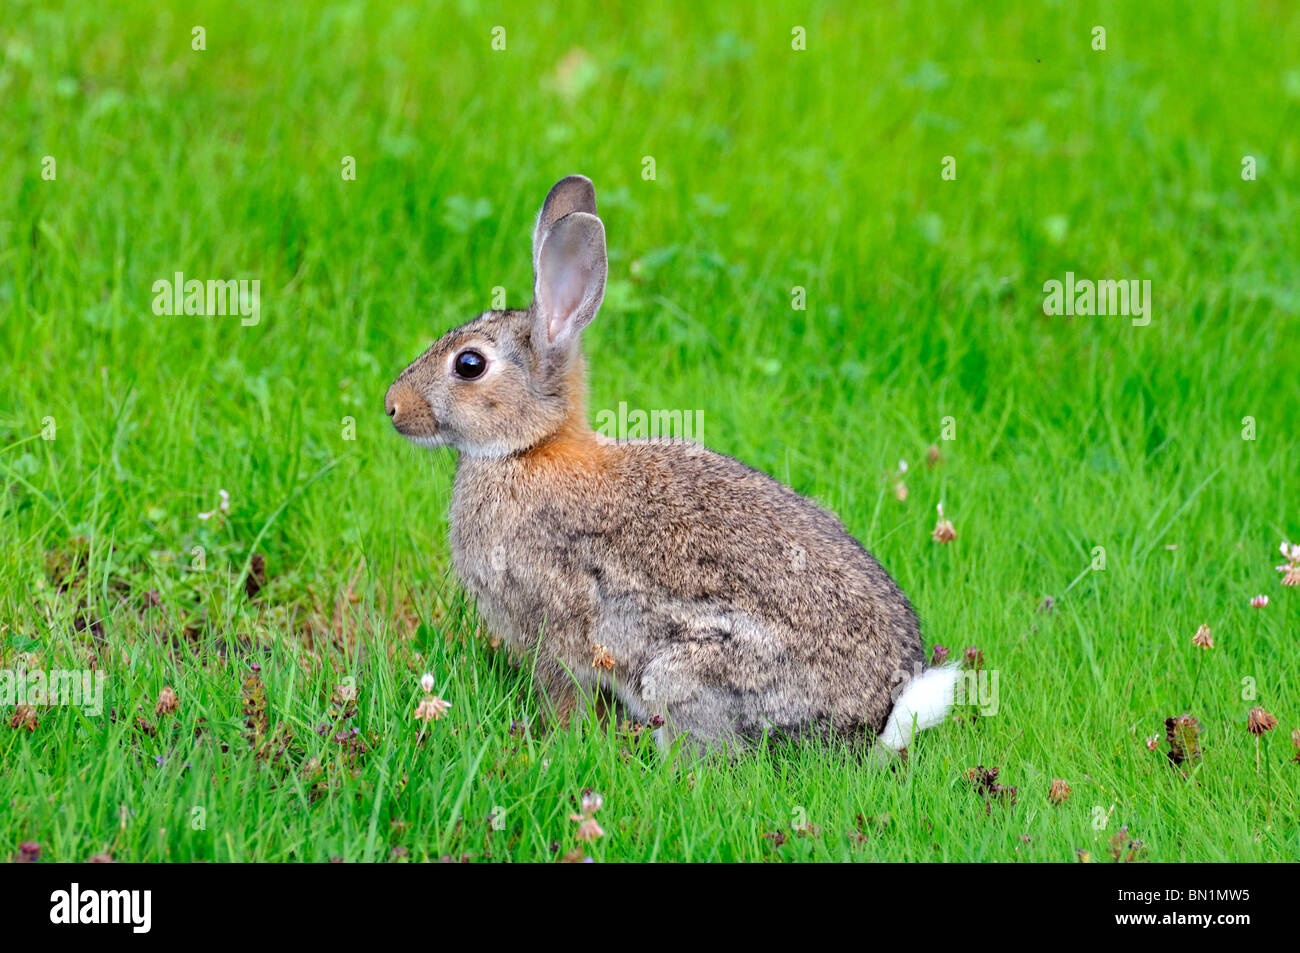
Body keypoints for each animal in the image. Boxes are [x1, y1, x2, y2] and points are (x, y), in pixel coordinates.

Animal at [385, 174, 958, 756]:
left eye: (469, 364)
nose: (391, 407)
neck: (529, 448)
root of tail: (878, 721)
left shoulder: (557, 633)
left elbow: (567, 696)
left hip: (686, 673)